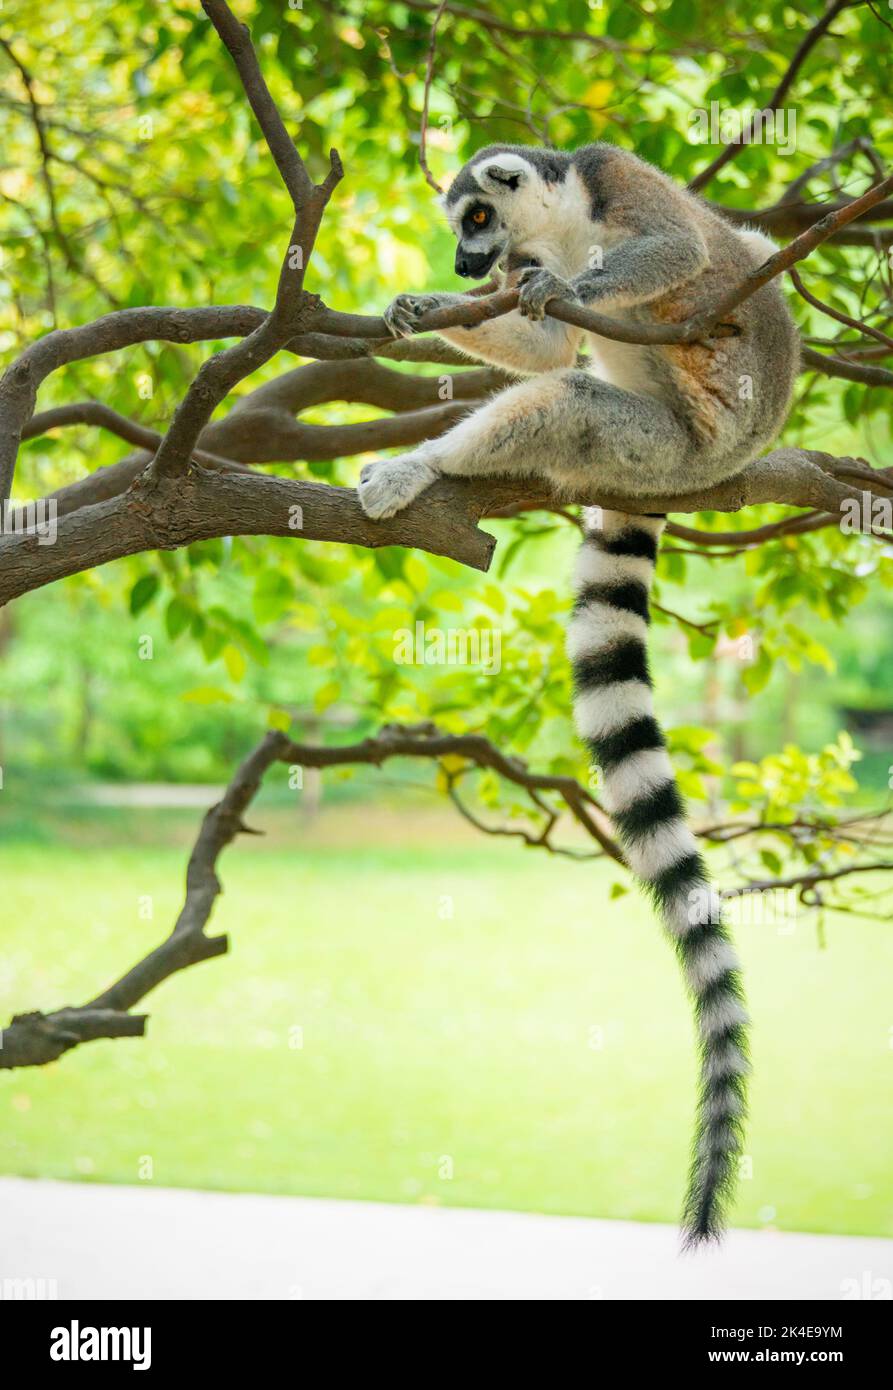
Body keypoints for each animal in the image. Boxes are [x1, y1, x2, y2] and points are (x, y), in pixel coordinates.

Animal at [358, 142, 801, 1246]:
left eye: (475, 215)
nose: (463, 262)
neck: (557, 227)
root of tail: (714, 462)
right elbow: (545, 346)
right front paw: (431, 303)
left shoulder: (618, 180)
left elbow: (680, 250)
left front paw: (572, 289)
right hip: (647, 454)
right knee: (569, 385)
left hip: (664, 444)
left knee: (577, 399)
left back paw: (419, 466)